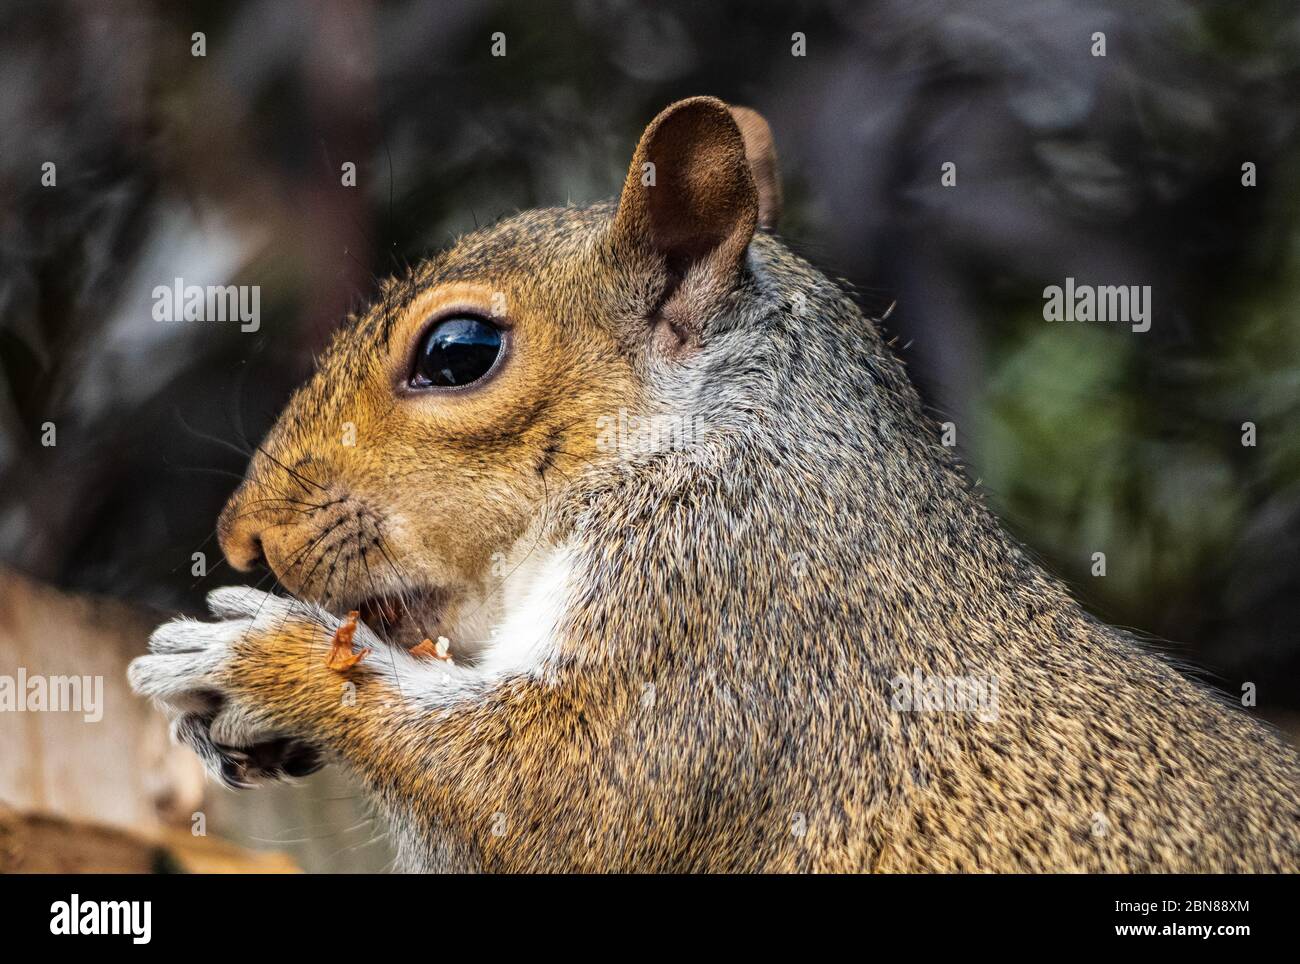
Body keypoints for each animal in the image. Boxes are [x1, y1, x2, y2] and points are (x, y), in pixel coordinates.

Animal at [130, 97, 1300, 873]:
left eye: (458, 353)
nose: (243, 537)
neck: (700, 439)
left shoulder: (725, 606)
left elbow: (557, 797)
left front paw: (252, 658)